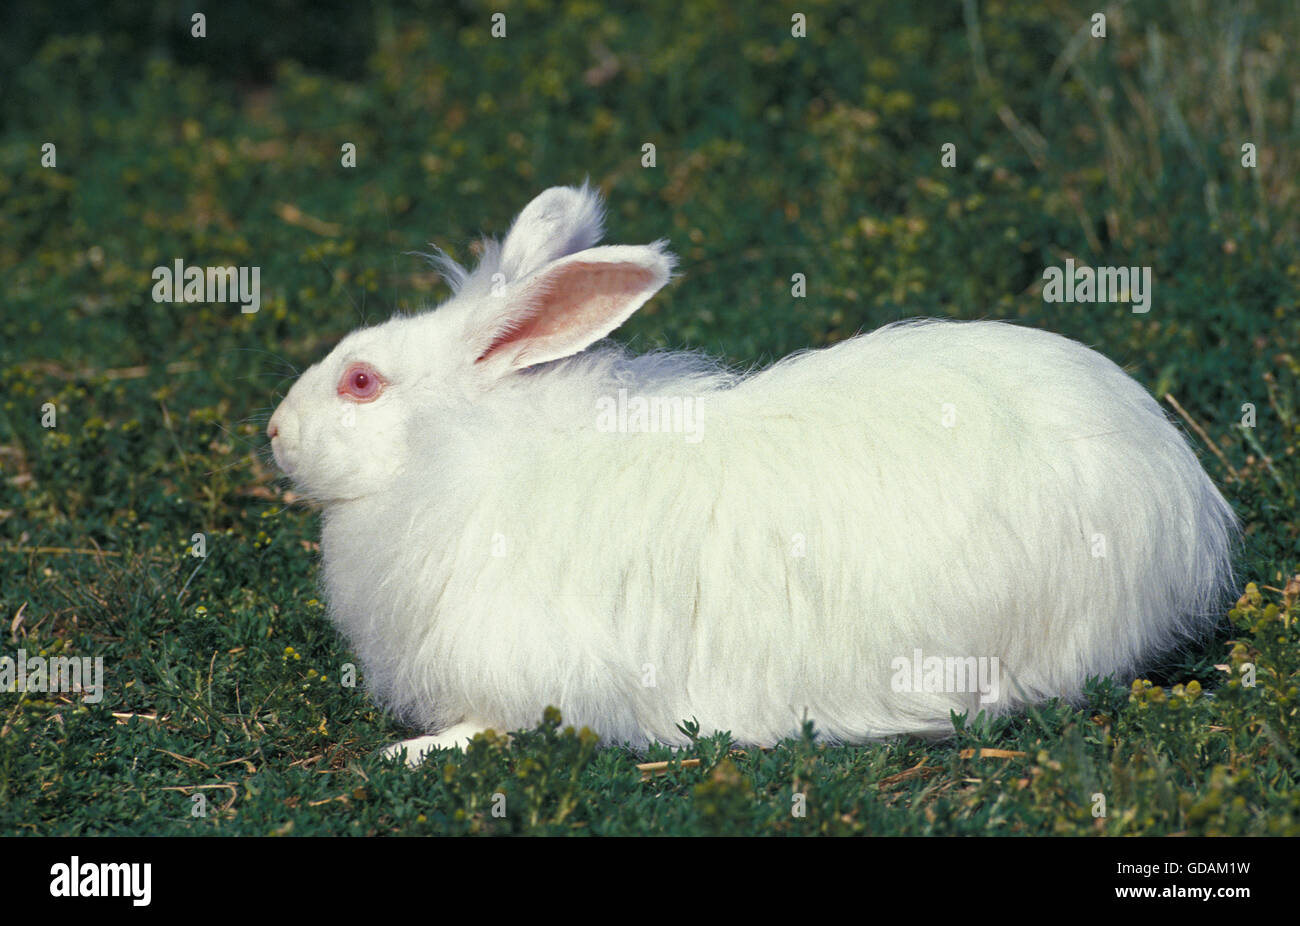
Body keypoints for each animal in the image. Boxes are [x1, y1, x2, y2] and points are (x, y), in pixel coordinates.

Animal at [267, 183, 1238, 767]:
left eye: (361, 381)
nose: (275, 433)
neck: (460, 451)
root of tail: (1186, 514)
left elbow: (490, 724)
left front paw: (406, 754)